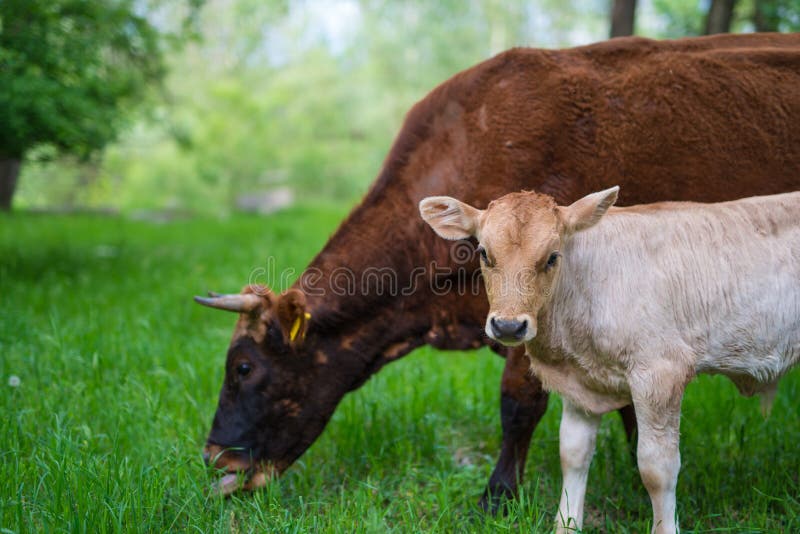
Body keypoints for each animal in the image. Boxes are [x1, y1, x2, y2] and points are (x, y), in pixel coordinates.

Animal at [419, 187, 800, 533]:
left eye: (552, 257)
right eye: (484, 253)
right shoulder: (579, 380)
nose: (508, 326)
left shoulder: (660, 372)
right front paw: (566, 526)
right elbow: (572, 454)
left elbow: (656, 468)